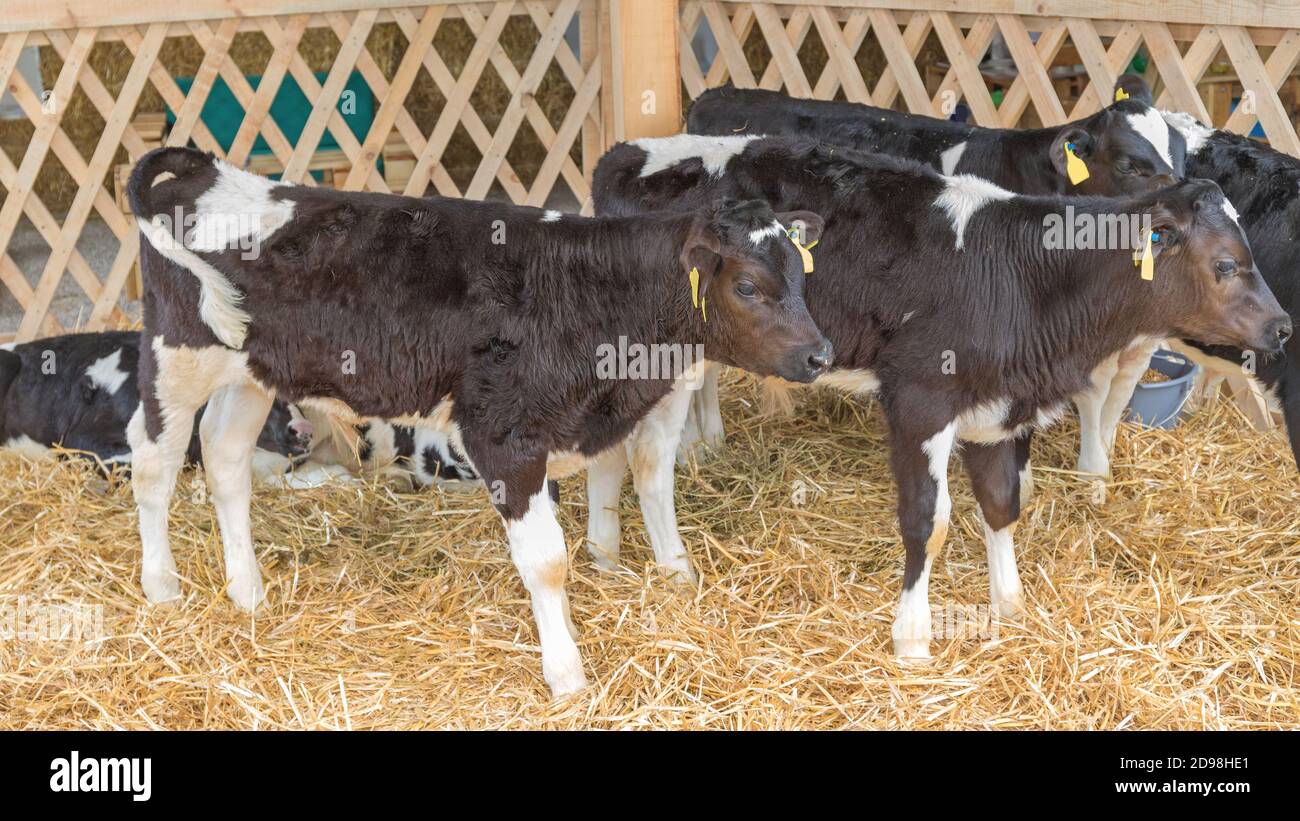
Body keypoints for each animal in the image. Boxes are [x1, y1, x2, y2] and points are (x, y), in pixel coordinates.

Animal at [126, 146, 831, 697]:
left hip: (253, 372)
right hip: (177, 355)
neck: (595, 291)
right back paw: (162, 590)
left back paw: (247, 593)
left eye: (802, 277)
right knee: (154, 463)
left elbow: (633, 484)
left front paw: (646, 573)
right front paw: (568, 676)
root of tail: (210, 172)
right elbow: (546, 562)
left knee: (224, 458)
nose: (820, 354)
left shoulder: (607, 415)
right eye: (746, 285)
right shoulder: (503, 437)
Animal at [590, 134, 1289, 659]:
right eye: (1226, 264)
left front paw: (1010, 604)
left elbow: (1002, 505)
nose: (1284, 326)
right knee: (646, 462)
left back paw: (635, 520)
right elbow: (930, 521)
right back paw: (674, 567)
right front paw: (913, 637)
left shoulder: (1001, 410)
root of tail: (630, 151)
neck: (1019, 273)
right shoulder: (919, 400)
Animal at [681, 81, 1192, 485]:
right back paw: (703, 443)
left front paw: (1097, 473)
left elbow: (1107, 404)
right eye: (1127, 164)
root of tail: (721, 94)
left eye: (1184, 156)